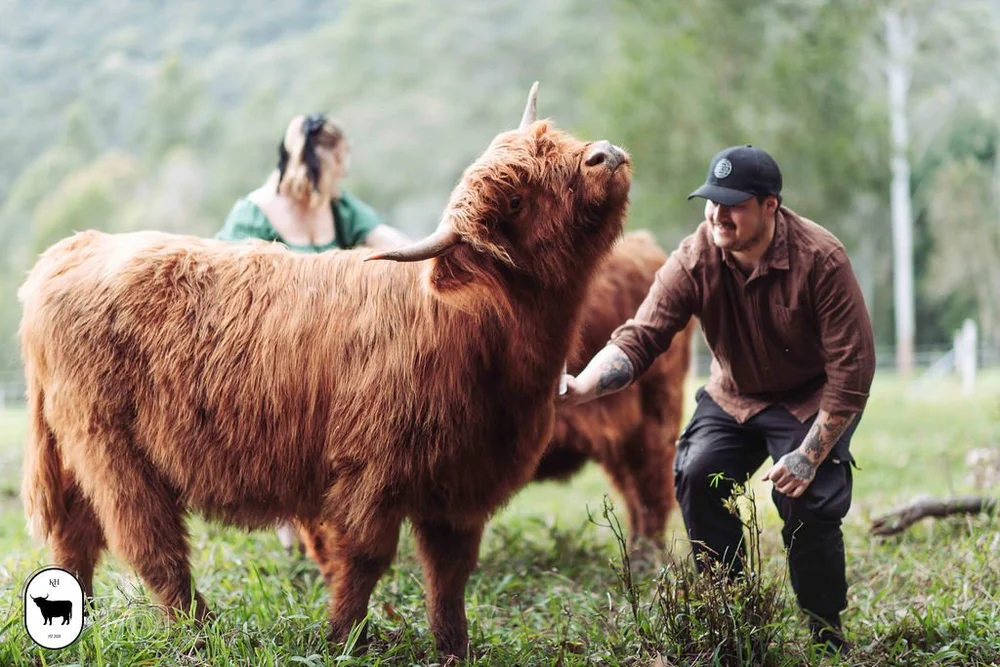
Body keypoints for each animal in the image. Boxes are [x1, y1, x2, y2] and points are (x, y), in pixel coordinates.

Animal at [19, 83, 631, 659]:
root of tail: (73, 249)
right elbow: (363, 559)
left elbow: (450, 575)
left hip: (77, 453)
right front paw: (341, 640)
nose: (604, 155)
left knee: (75, 538)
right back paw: (203, 637)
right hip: (112, 452)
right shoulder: (372, 473)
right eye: (518, 200)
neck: (485, 333)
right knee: (151, 547)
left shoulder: (460, 484)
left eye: (557, 139)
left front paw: (454, 649)